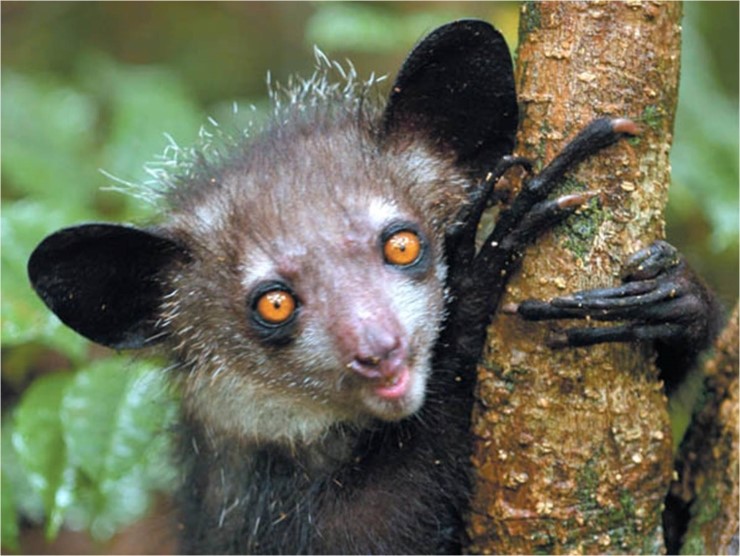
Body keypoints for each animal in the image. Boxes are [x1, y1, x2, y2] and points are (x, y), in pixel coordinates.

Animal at [27, 20, 722, 554]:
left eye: (403, 244)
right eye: (273, 302)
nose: (381, 352)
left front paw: (675, 299)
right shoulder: (246, 504)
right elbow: (371, 527)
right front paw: (483, 273)